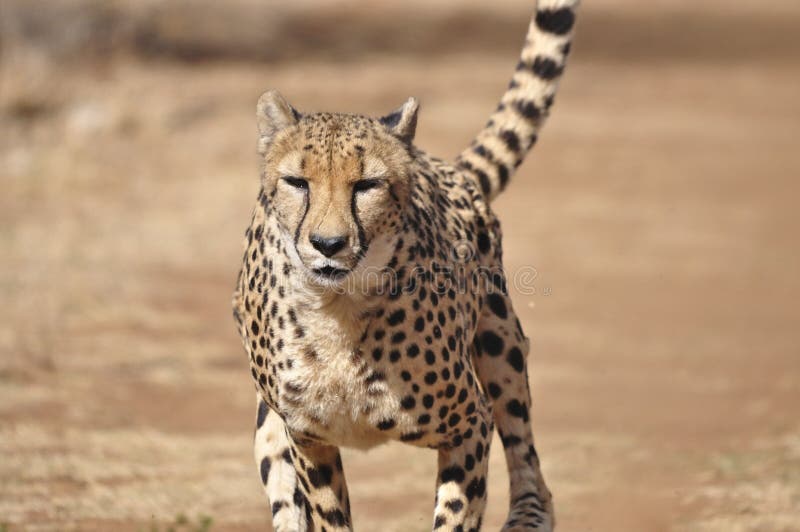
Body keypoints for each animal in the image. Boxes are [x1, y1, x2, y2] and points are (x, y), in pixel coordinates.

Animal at [232, 1, 578, 530]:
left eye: (366, 185)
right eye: (297, 182)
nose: (328, 244)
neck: (337, 310)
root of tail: (444, 165)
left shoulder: (469, 422)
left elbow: (456, 510)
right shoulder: (307, 438)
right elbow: (328, 515)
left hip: (501, 342)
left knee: (526, 450)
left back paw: (528, 514)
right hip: (268, 425)